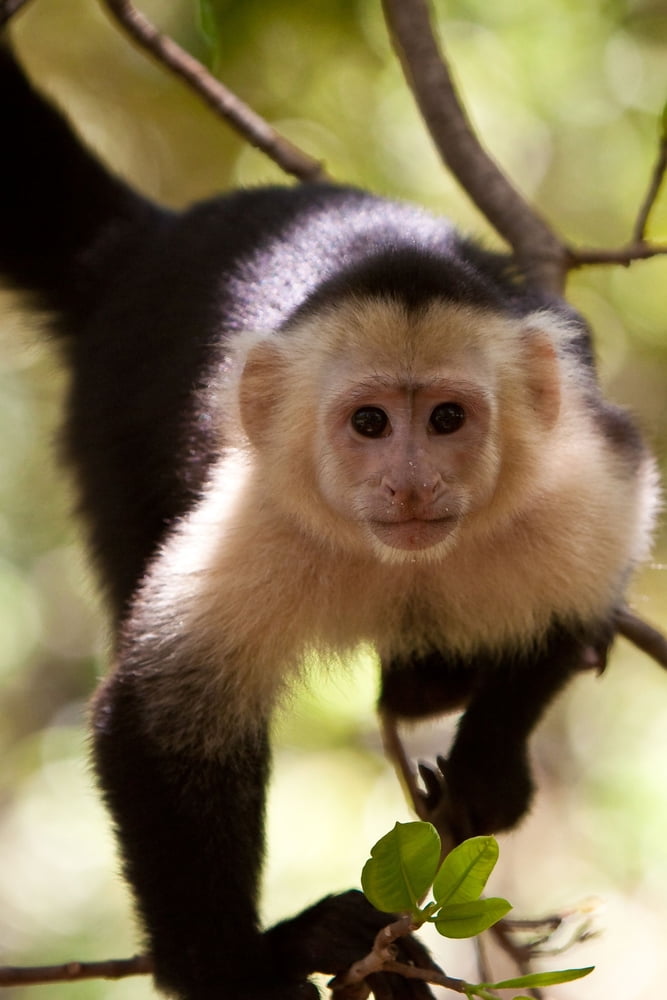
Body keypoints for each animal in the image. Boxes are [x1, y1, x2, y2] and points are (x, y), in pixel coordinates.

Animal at [0, 39, 660, 1000]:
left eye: (447, 419)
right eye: (370, 424)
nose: (410, 486)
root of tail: (148, 242)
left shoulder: (581, 478)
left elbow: (577, 603)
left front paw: (489, 767)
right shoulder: (254, 516)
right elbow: (159, 722)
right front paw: (233, 972)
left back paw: (431, 684)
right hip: (111, 420)